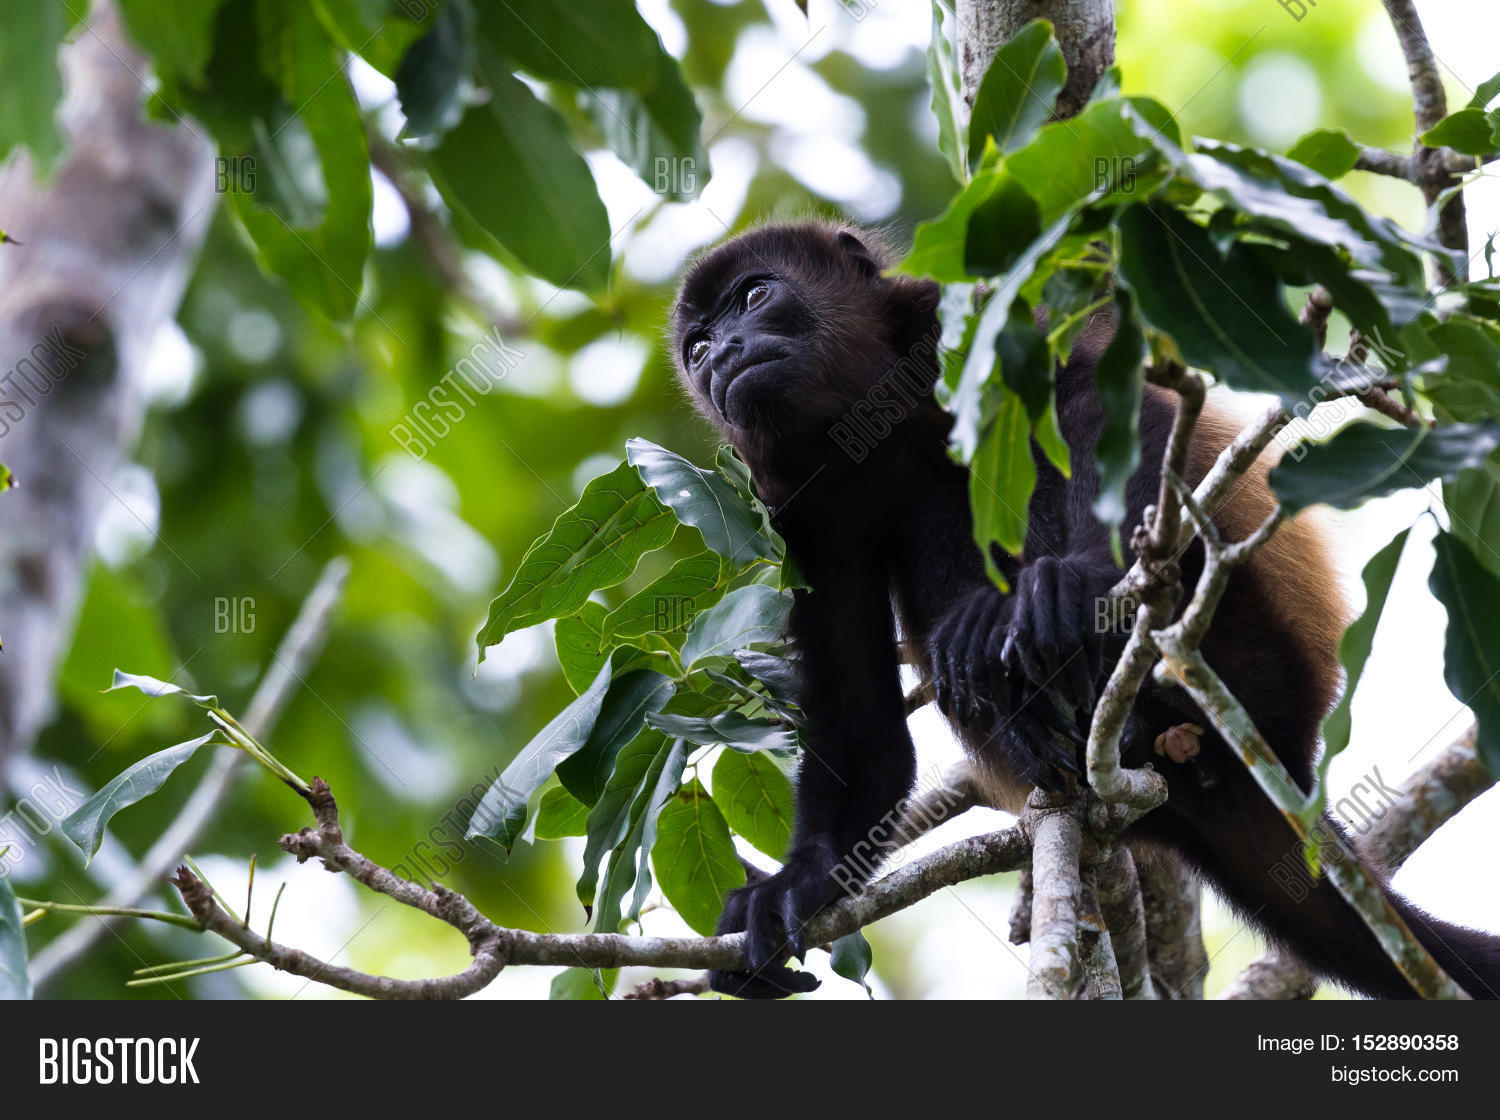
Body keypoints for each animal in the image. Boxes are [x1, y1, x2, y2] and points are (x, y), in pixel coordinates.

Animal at [670, 219, 1500, 1000]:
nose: (719, 356)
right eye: (697, 344)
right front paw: (797, 881)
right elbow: (864, 732)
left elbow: (1093, 395)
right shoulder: (799, 507)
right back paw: (1037, 718)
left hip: (1260, 656)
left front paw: (1076, 583)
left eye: (754, 295)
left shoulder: (961, 316)